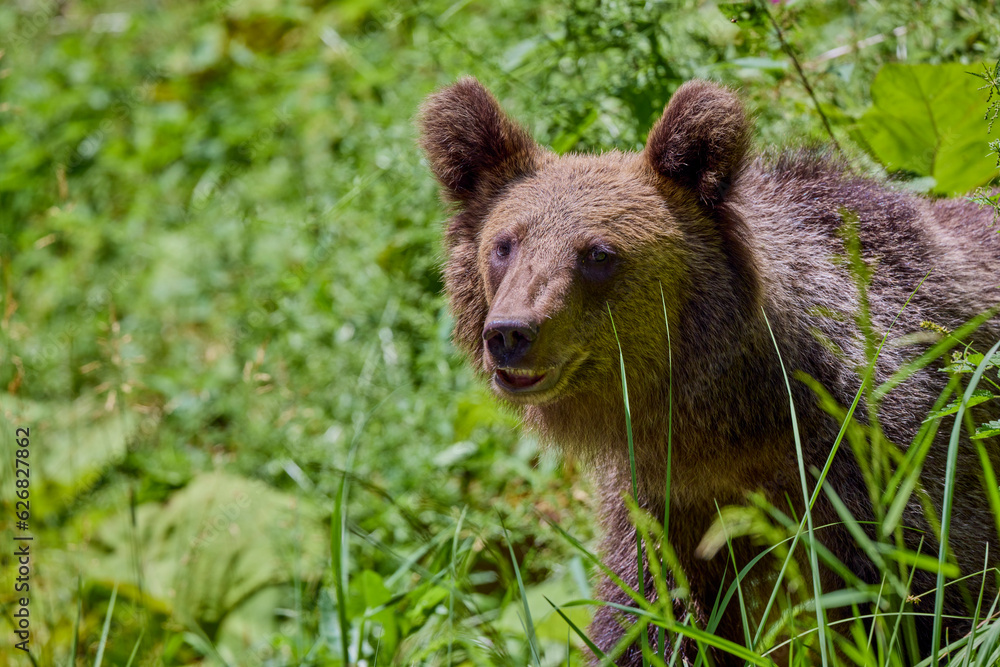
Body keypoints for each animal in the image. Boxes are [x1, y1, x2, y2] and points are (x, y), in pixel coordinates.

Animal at [418, 76, 1000, 665]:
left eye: (598, 253)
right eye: (504, 244)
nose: (511, 332)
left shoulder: (884, 452)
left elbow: (927, 597)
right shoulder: (668, 503)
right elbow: (652, 618)